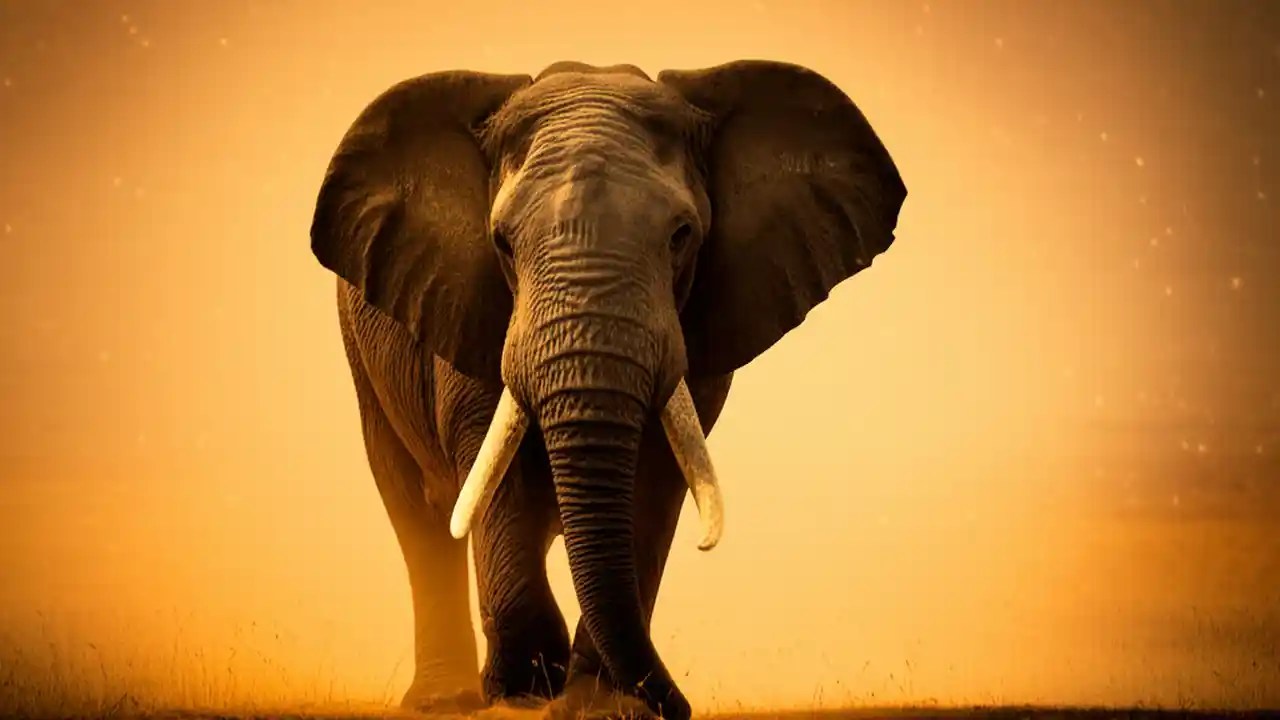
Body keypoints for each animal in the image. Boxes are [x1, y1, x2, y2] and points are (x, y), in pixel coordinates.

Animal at [309, 59, 906, 720]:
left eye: (681, 236)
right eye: (501, 242)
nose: (680, 704)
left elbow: (658, 475)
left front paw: (597, 704)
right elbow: (494, 469)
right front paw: (522, 693)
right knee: (415, 510)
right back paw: (445, 701)